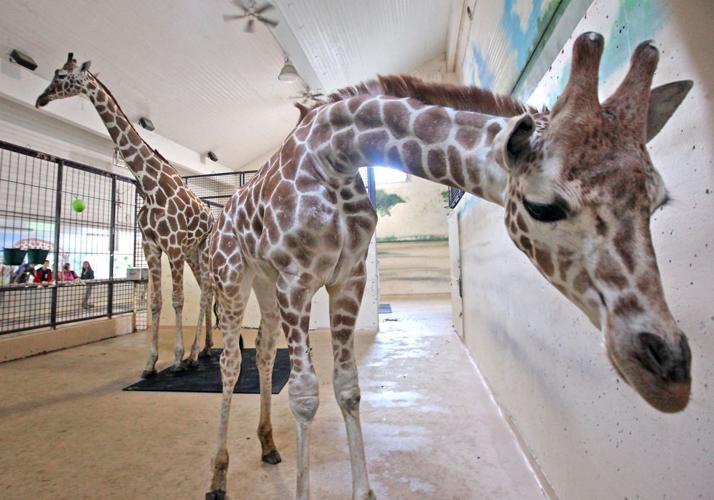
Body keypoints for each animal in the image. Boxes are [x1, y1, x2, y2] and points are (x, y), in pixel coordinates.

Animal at [36, 53, 215, 377]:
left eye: (62, 76)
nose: (41, 98)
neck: (150, 185)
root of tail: (212, 215)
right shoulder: (151, 245)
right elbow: (156, 302)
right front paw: (150, 363)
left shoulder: (172, 246)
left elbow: (177, 300)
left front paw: (178, 359)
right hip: (192, 251)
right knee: (206, 291)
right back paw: (205, 349)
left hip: (201, 248)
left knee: (207, 290)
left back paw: (195, 353)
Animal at [205, 33, 693, 499]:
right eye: (542, 207)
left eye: (657, 202)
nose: (670, 372)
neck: (333, 158)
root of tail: (222, 214)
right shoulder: (298, 280)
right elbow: (305, 394)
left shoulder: (348, 278)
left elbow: (348, 386)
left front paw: (364, 491)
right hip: (234, 278)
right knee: (231, 361)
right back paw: (218, 477)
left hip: (264, 282)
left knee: (263, 350)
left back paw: (268, 445)